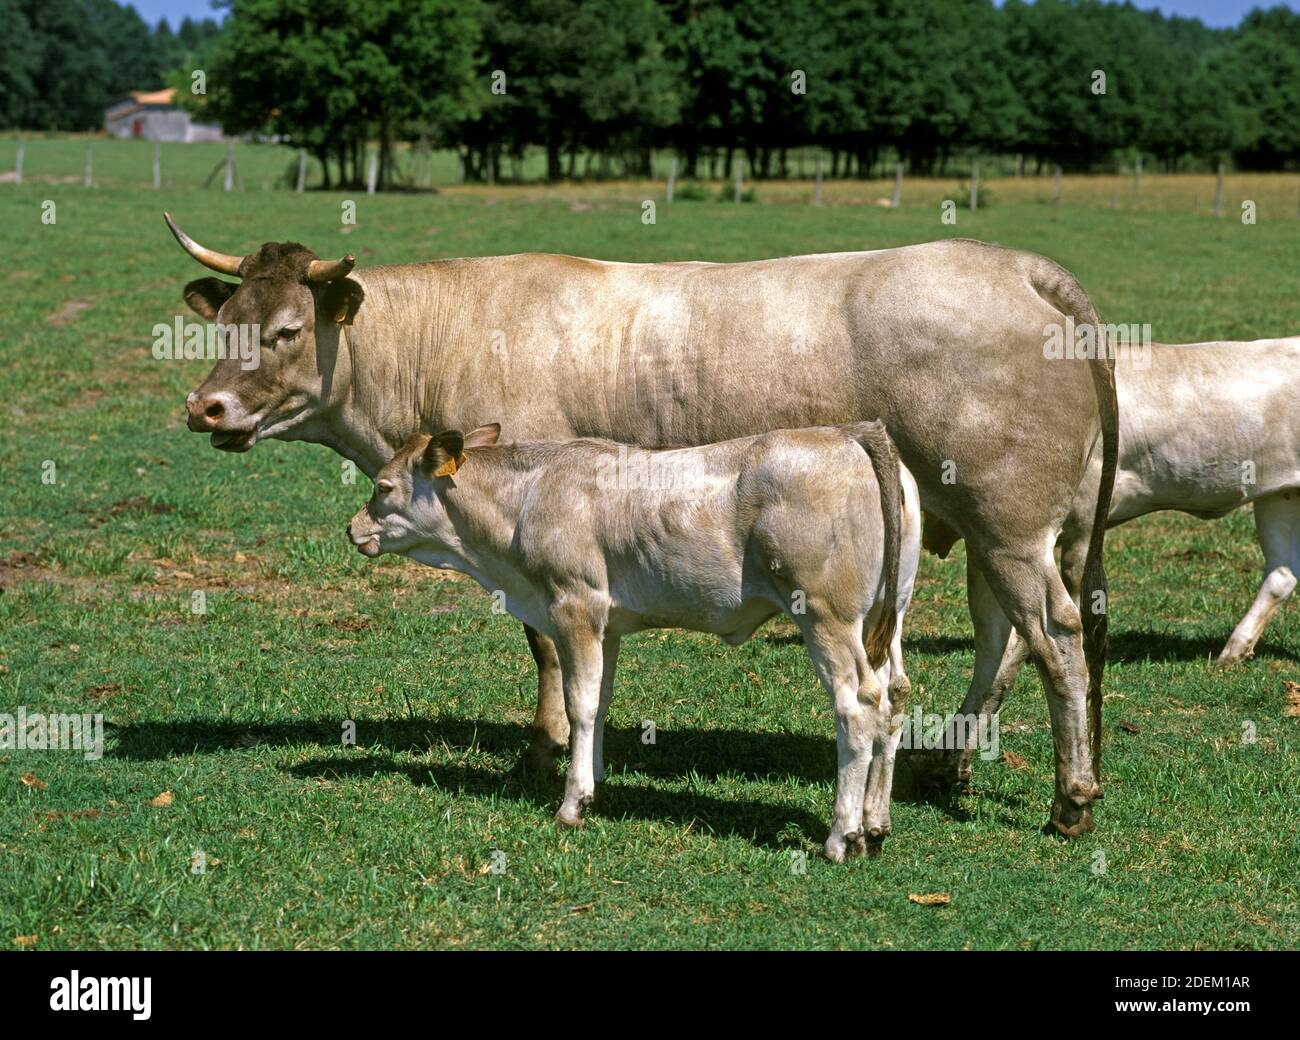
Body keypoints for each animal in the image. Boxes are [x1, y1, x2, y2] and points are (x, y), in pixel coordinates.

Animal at [346, 420, 921, 861]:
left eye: (383, 487)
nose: (352, 528)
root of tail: (850, 432)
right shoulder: (608, 623)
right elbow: (599, 701)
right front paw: (596, 782)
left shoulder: (574, 604)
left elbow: (578, 703)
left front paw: (573, 803)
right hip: (887, 616)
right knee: (894, 699)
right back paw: (876, 824)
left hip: (827, 615)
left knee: (857, 707)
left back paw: (842, 836)